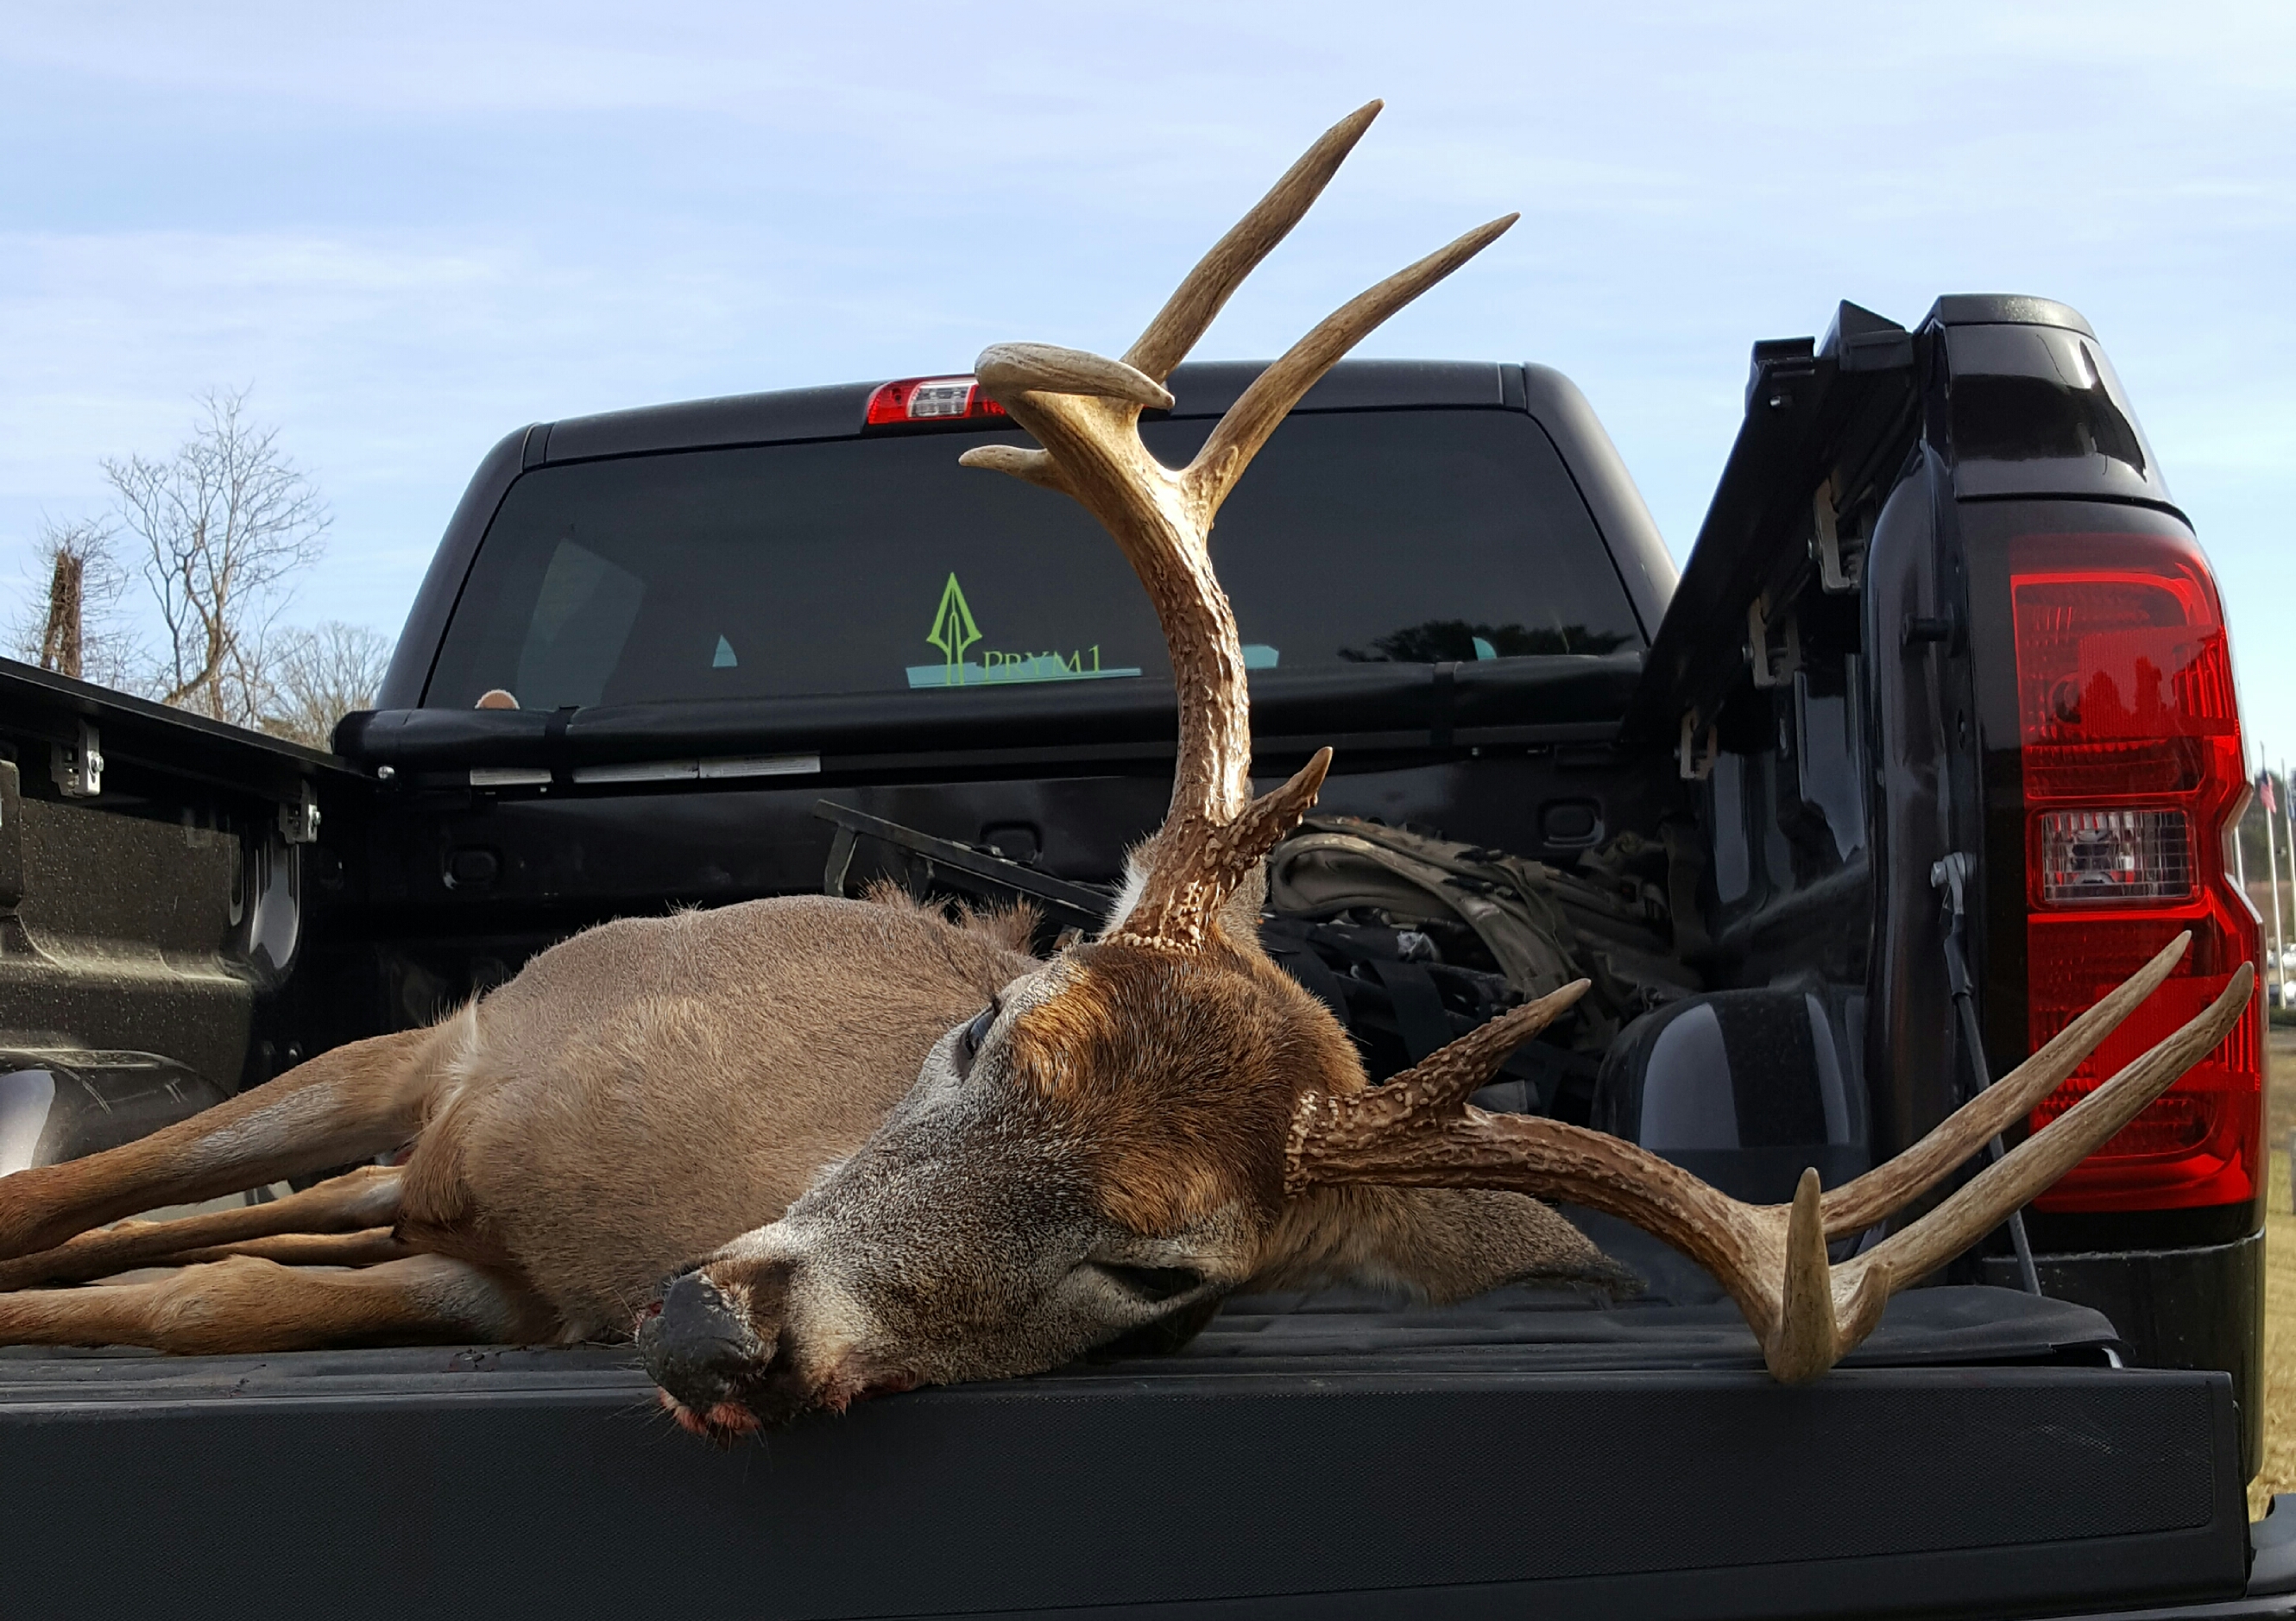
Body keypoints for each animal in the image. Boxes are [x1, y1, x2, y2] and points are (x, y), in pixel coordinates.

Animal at [0, 104, 2250, 1442]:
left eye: (1158, 1272)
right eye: (988, 1035)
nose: (726, 1336)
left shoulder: (484, 1274)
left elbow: (200, 1301)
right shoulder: (446, 1062)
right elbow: (117, 1220)